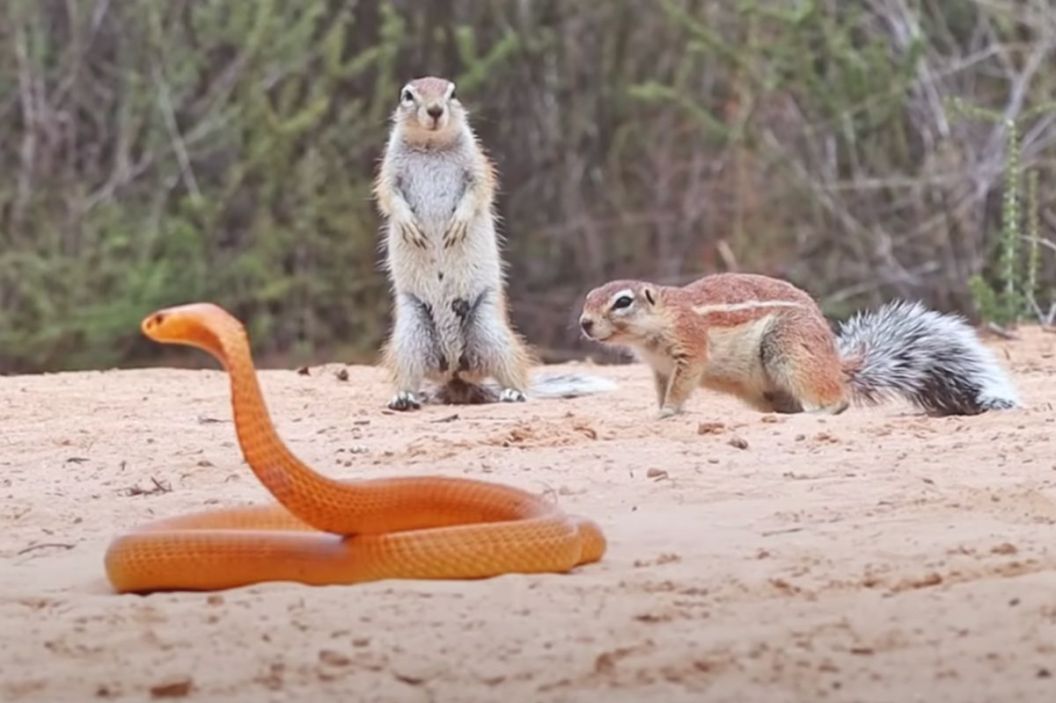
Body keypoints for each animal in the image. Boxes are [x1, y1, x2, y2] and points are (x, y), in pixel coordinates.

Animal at [374, 76, 615, 410]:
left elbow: (479, 189)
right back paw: (403, 397)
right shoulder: (389, 168)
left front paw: (458, 224)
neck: (432, 147)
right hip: (410, 332)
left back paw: (513, 392)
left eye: (453, 93)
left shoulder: (478, 163)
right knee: (406, 370)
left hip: (491, 330)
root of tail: (455, 375)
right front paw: (410, 225)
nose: (435, 111)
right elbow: (389, 195)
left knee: (513, 370)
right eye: (408, 95)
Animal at [577, 272, 1020, 418]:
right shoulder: (658, 367)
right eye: (588, 298)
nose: (583, 323)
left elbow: (684, 384)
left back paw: (816, 412)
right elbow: (662, 388)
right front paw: (661, 408)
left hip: (787, 349)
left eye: (622, 302)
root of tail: (835, 364)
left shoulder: (689, 347)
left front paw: (667, 412)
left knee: (836, 399)